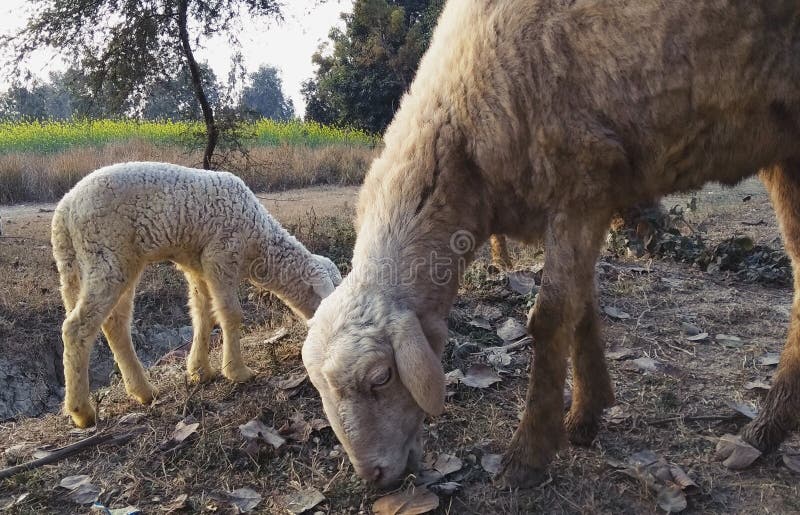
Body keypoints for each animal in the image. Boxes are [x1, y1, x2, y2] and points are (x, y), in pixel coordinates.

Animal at [52, 161, 342, 428]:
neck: (258, 245)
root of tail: (65, 210)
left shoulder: (197, 265)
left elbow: (203, 315)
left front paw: (200, 371)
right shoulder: (221, 254)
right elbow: (230, 314)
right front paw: (237, 371)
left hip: (83, 265)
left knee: (114, 324)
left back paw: (143, 391)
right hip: (106, 254)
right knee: (77, 327)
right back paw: (82, 411)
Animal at [302, 0, 800, 488]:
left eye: (381, 377)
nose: (374, 477)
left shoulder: (581, 180)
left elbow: (551, 317)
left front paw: (529, 453)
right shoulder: (588, 198)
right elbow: (582, 308)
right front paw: (586, 415)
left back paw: (758, 432)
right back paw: (766, 431)